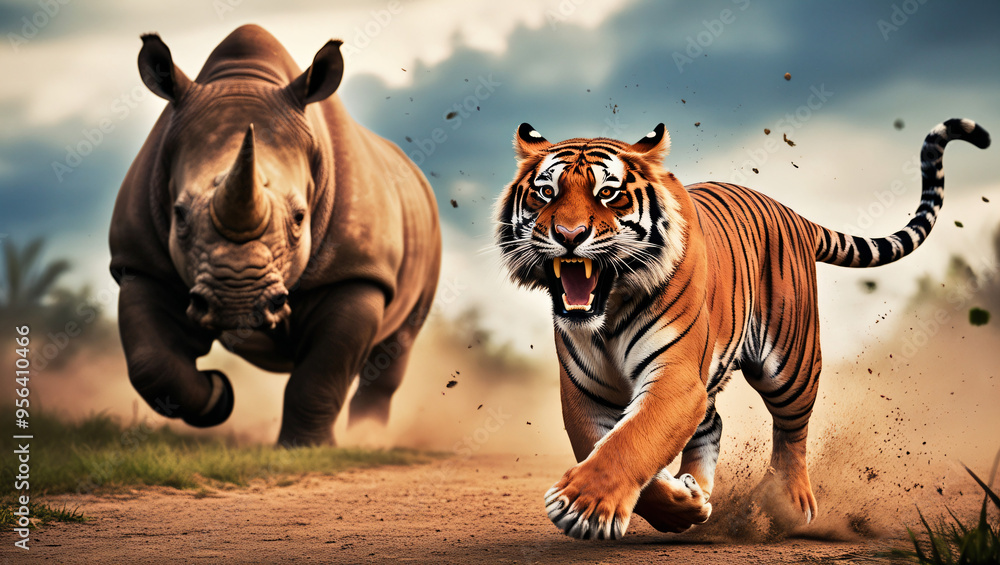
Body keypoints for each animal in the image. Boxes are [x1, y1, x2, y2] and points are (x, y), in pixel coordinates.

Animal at [494, 118, 990, 539]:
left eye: (609, 194)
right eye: (545, 193)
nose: (568, 235)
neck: (608, 312)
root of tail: (791, 212)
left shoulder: (676, 379)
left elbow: (633, 440)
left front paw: (582, 506)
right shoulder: (584, 391)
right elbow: (606, 445)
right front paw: (681, 505)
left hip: (790, 365)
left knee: (791, 433)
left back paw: (789, 505)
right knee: (712, 424)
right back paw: (700, 489)